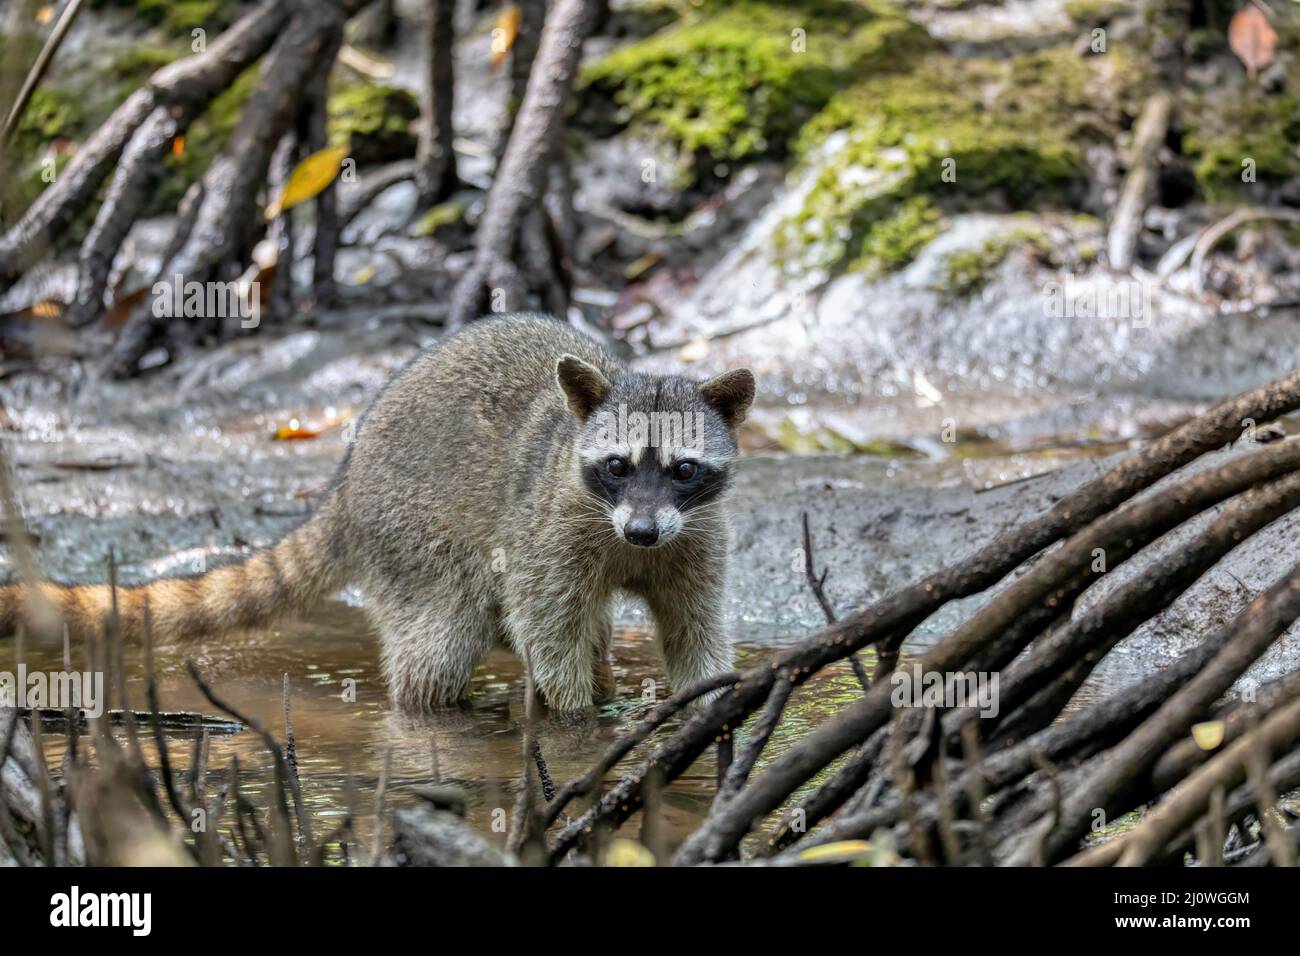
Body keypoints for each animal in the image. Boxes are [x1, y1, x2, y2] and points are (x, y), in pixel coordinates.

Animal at [1, 314, 754, 712]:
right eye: (619, 466)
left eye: (683, 470)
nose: (641, 531)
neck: (630, 538)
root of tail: (347, 479)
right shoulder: (551, 525)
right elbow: (548, 625)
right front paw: (576, 717)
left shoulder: (697, 537)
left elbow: (694, 628)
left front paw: (708, 706)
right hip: (412, 532)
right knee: (443, 640)